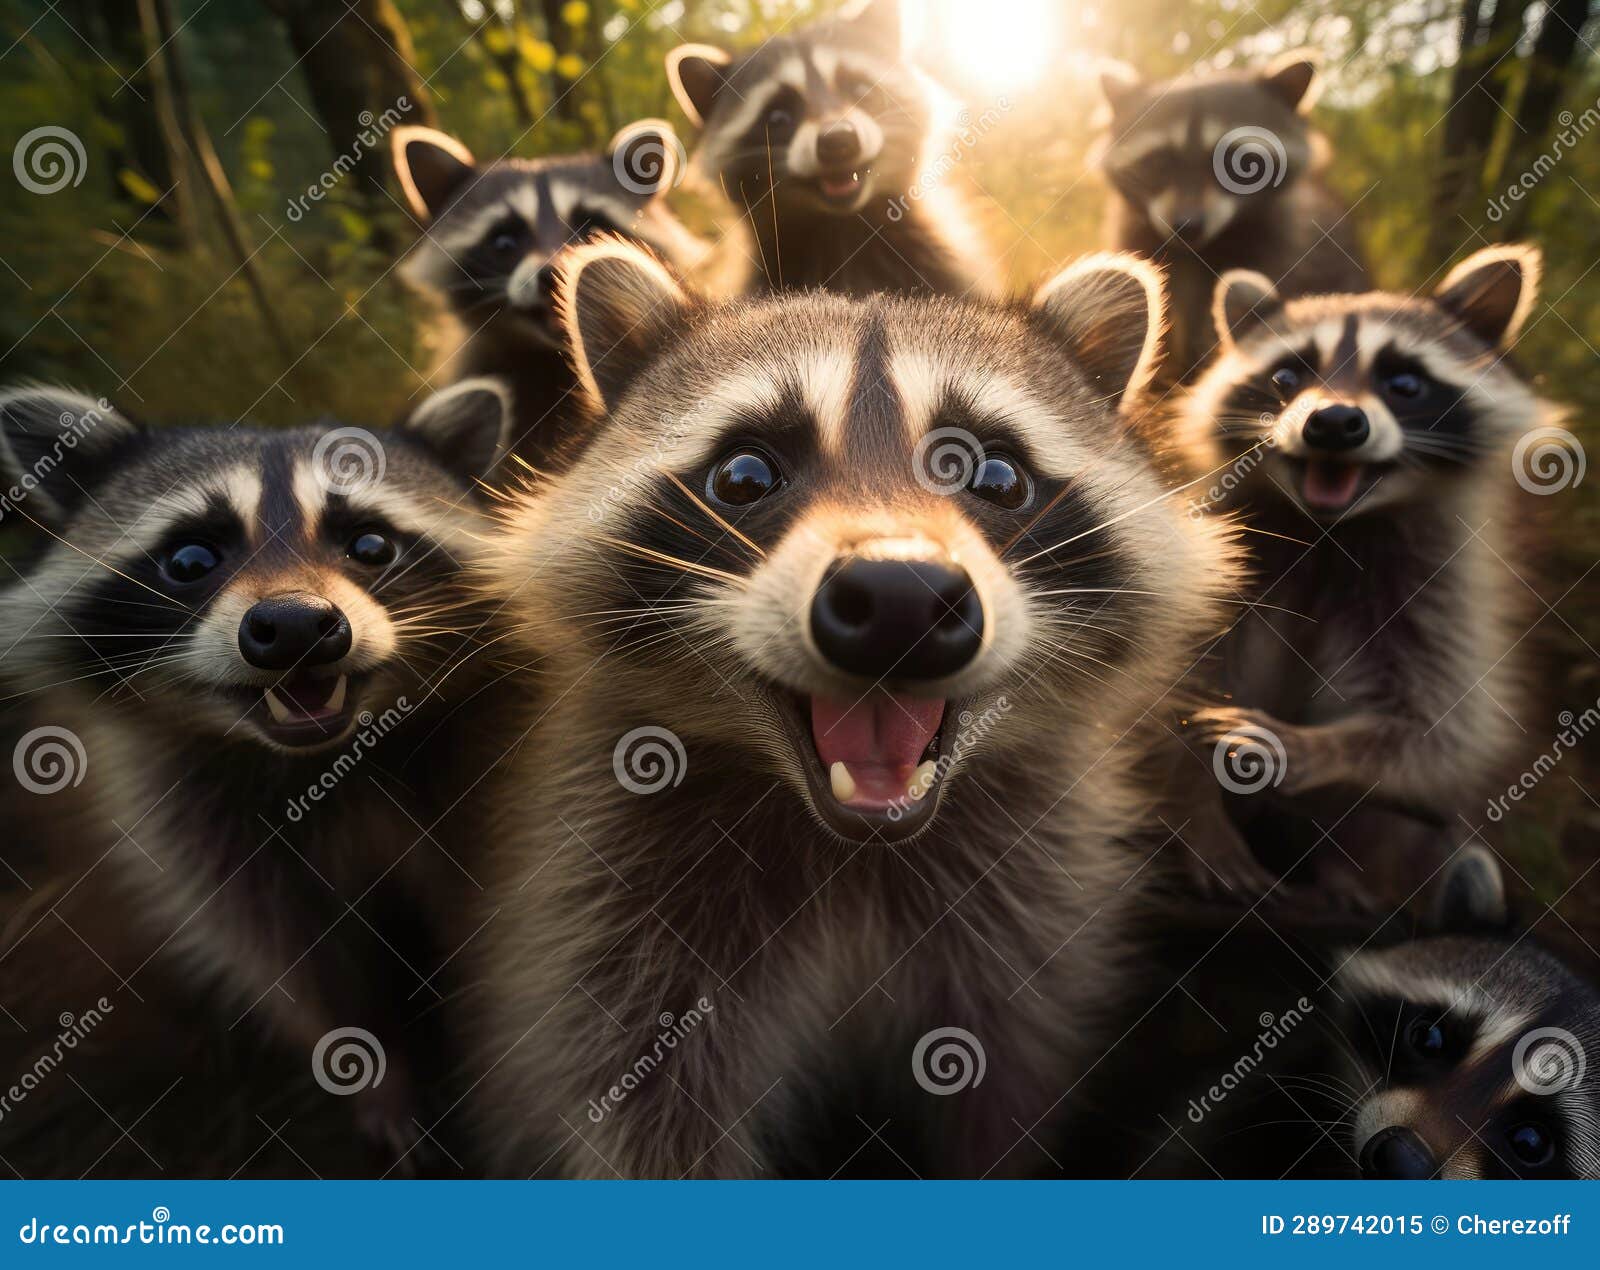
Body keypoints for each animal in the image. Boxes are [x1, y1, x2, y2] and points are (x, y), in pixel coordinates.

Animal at [0, 380, 511, 1164]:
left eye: (370, 544)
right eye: (189, 559)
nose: (296, 627)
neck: (316, 761)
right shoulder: (200, 828)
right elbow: (288, 958)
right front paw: (376, 1068)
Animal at [464, 238, 1241, 1178]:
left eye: (995, 473)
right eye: (745, 474)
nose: (900, 596)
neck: (854, 850)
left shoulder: (1035, 906)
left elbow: (1009, 1091)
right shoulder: (599, 910)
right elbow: (634, 1107)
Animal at [1097, 52, 1369, 380]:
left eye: (1238, 162)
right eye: (1158, 162)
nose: (1187, 226)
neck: (1201, 249)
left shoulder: (1279, 243)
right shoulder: (1140, 234)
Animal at [1179, 246, 1548, 904]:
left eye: (1404, 383)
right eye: (1286, 377)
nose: (1332, 422)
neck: (1330, 528)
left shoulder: (1437, 583)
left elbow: (1443, 733)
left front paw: (1316, 749)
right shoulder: (1223, 553)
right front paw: (1200, 815)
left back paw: (1350, 873)